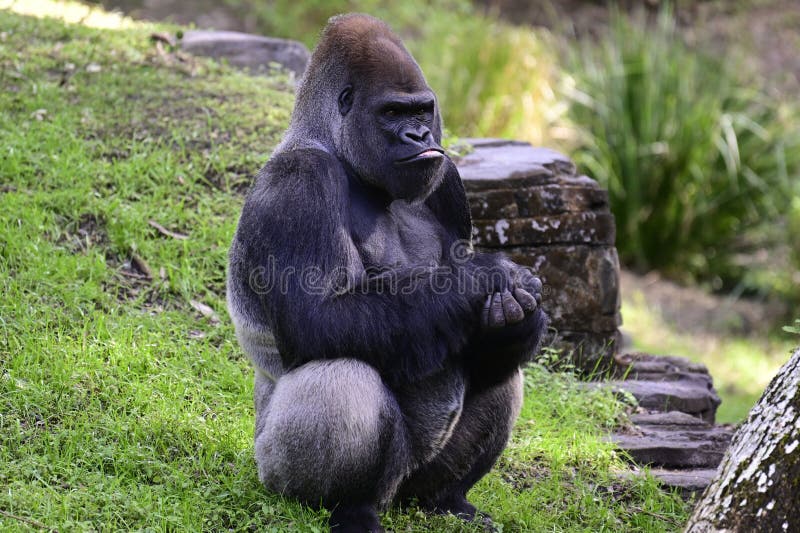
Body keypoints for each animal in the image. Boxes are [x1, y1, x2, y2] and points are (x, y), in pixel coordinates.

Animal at [227, 13, 547, 533]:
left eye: (422, 111)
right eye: (393, 113)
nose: (419, 137)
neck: (335, 147)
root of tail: (397, 499)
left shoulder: (447, 177)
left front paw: (520, 317)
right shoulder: (300, 181)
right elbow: (320, 319)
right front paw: (485, 277)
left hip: (415, 485)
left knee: (502, 377)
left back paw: (448, 499)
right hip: (274, 471)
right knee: (342, 380)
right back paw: (350, 509)